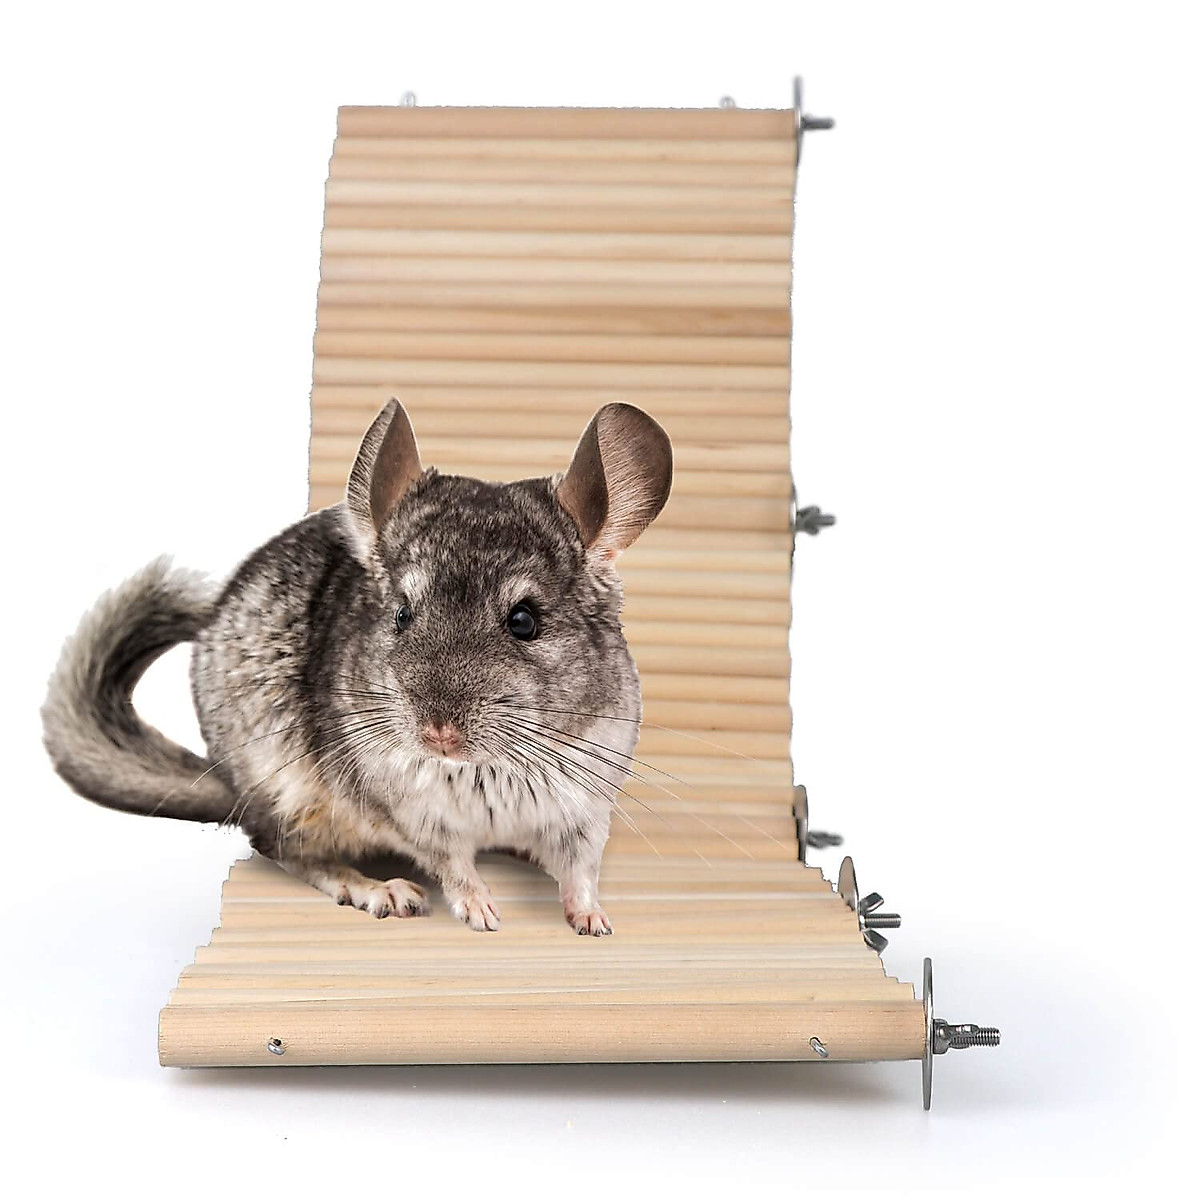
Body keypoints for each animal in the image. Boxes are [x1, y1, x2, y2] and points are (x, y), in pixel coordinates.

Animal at [42, 399, 672, 935]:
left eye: (524, 620)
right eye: (401, 613)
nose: (437, 733)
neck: (492, 769)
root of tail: (228, 786)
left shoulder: (587, 804)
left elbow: (581, 868)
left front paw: (593, 920)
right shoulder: (414, 813)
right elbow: (453, 864)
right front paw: (482, 912)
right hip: (288, 796)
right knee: (286, 851)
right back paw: (381, 889)